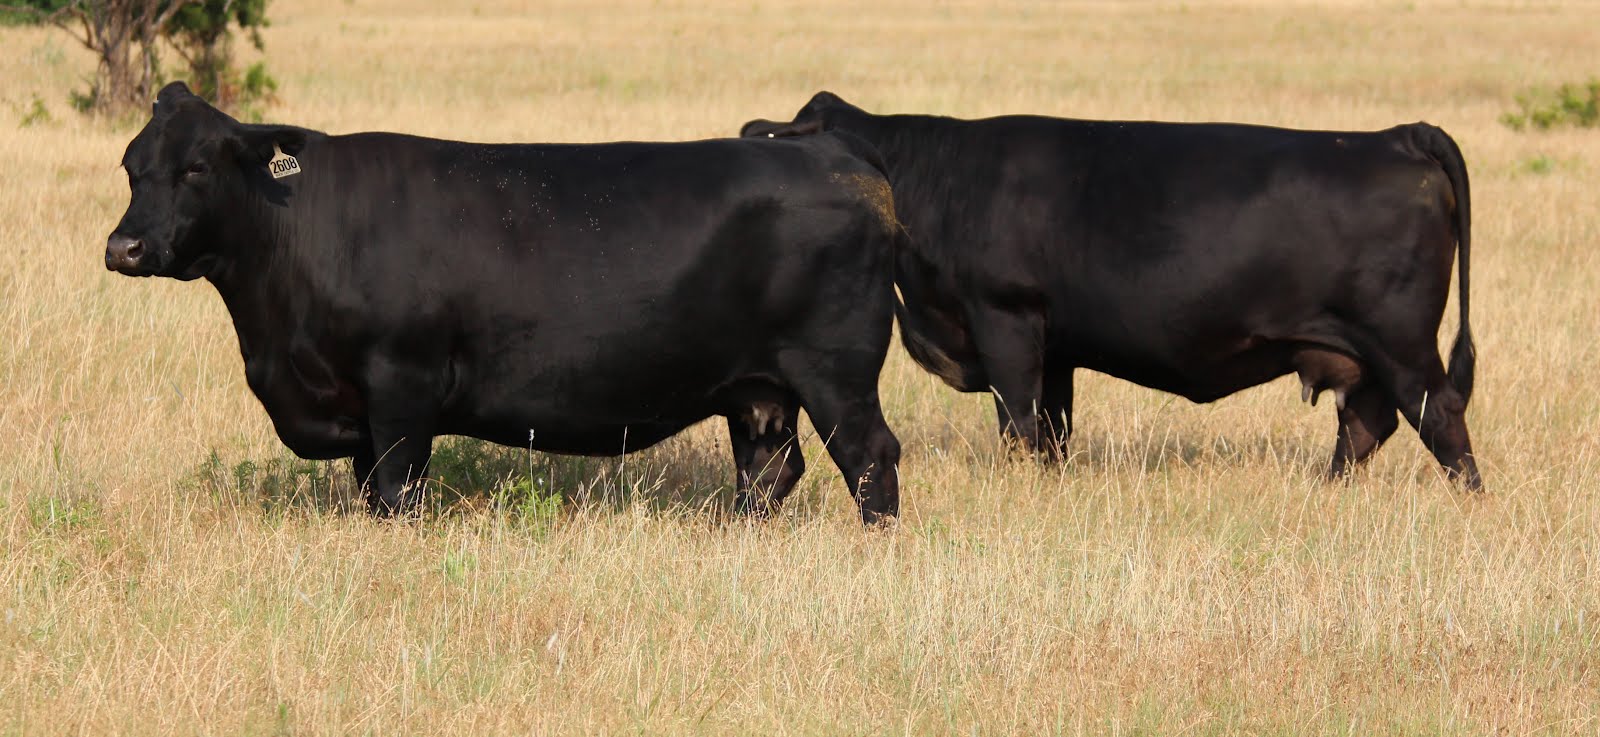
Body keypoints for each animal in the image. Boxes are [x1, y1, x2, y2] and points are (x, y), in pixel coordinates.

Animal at [106, 82, 904, 524]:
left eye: (197, 167)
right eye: (131, 166)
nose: (125, 248)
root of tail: (838, 154)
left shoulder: (401, 387)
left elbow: (396, 490)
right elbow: (370, 491)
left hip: (835, 372)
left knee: (870, 458)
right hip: (759, 389)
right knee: (769, 469)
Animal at [742, 92, 1481, 489]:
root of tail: (1398, 136)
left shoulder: (1005, 317)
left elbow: (1018, 421)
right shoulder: (1056, 345)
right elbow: (1052, 429)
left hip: (1401, 340)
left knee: (1437, 413)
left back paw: (1469, 498)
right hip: (1368, 354)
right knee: (1367, 422)